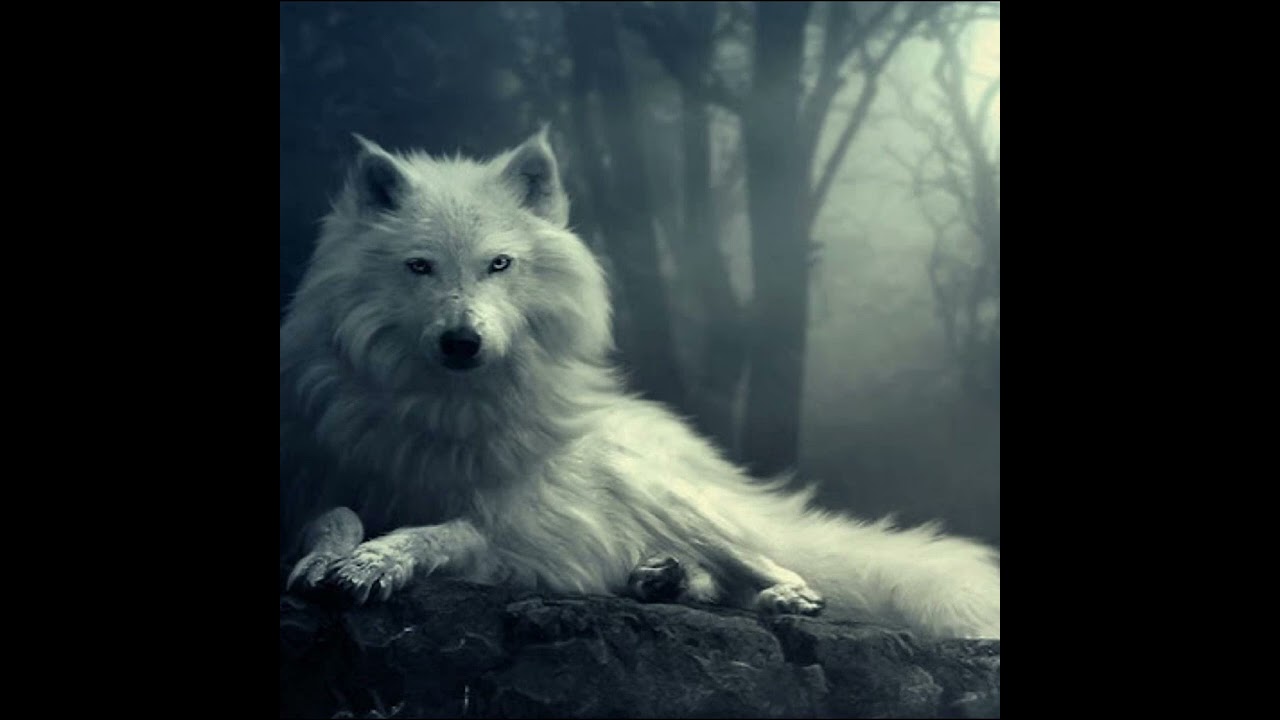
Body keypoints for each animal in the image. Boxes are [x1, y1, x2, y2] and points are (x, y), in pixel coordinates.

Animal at [279, 129, 1000, 640]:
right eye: (420, 266)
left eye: (499, 264)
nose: (462, 342)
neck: (445, 409)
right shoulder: (324, 478)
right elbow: (333, 516)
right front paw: (326, 560)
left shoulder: (516, 530)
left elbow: (444, 532)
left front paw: (375, 562)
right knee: (706, 575)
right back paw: (663, 579)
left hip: (665, 494)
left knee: (765, 560)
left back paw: (780, 593)